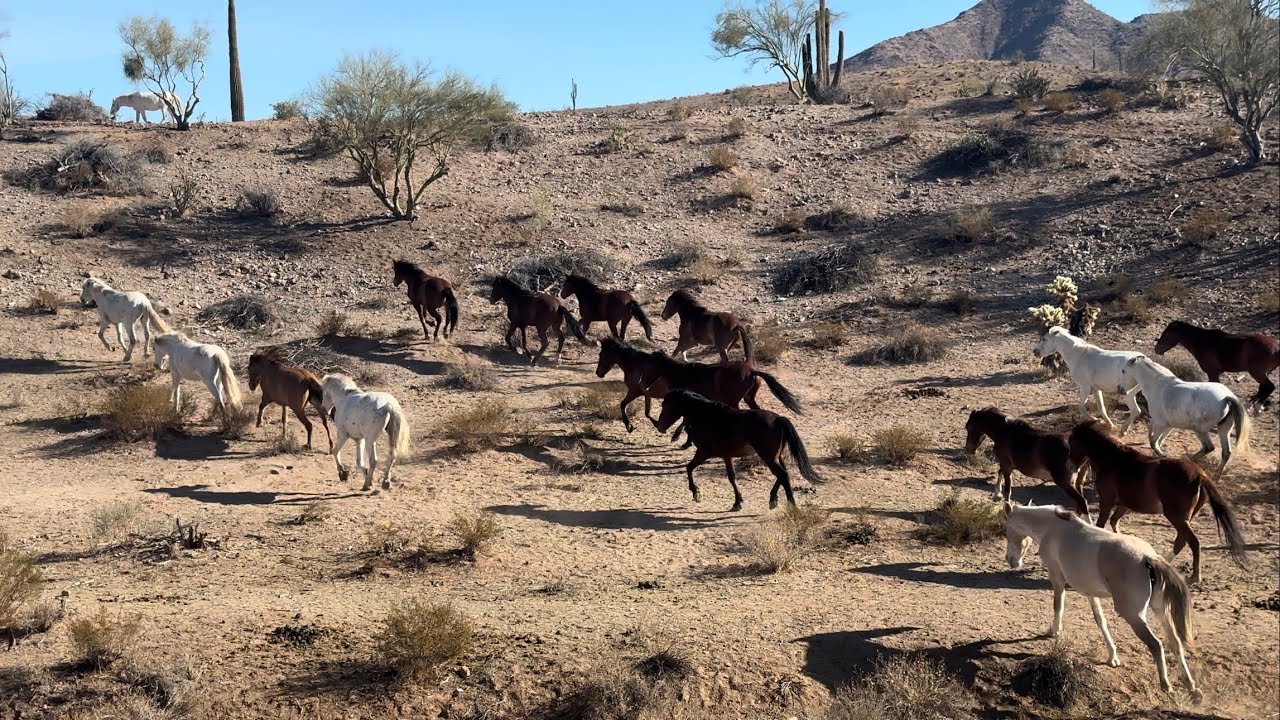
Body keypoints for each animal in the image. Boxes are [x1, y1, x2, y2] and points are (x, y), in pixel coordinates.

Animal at [594, 337, 802, 434]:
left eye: (601, 354)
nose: (598, 372)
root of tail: (751, 371)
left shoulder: (636, 390)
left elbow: (623, 404)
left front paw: (630, 425)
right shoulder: (646, 394)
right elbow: (646, 412)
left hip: (733, 401)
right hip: (748, 398)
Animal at [652, 390, 821, 512]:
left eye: (665, 405)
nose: (660, 427)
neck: (705, 415)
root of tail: (778, 419)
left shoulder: (704, 453)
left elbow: (689, 468)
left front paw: (696, 493)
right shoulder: (727, 456)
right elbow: (732, 477)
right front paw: (737, 502)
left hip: (768, 457)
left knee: (783, 475)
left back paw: (791, 506)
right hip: (776, 456)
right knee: (783, 474)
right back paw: (773, 499)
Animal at [1003, 501, 1199, 698]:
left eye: (1006, 531)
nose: (1011, 561)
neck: (1053, 527)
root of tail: (1147, 558)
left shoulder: (1056, 577)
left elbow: (1058, 605)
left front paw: (1054, 631)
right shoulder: (1090, 591)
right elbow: (1100, 620)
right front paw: (1112, 657)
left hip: (1134, 616)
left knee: (1156, 645)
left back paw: (1166, 685)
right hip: (1159, 610)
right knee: (1175, 643)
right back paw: (1191, 686)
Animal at [1068, 420, 1245, 584]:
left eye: (1071, 442)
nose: (1071, 467)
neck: (1113, 459)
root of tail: (1200, 475)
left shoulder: (1107, 501)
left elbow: (1101, 525)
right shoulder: (1123, 505)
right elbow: (1114, 522)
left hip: (1176, 517)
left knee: (1193, 542)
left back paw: (1194, 577)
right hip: (1185, 518)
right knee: (1181, 541)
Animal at [1117, 356, 1251, 475]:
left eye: (1123, 371)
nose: (1120, 389)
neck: (1158, 386)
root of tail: (1227, 397)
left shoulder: (1161, 424)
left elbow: (1154, 443)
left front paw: (1163, 456)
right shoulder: (1167, 425)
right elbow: (1155, 439)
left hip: (1200, 430)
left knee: (1209, 447)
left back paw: (1189, 458)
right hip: (1224, 429)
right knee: (1226, 452)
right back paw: (1216, 476)